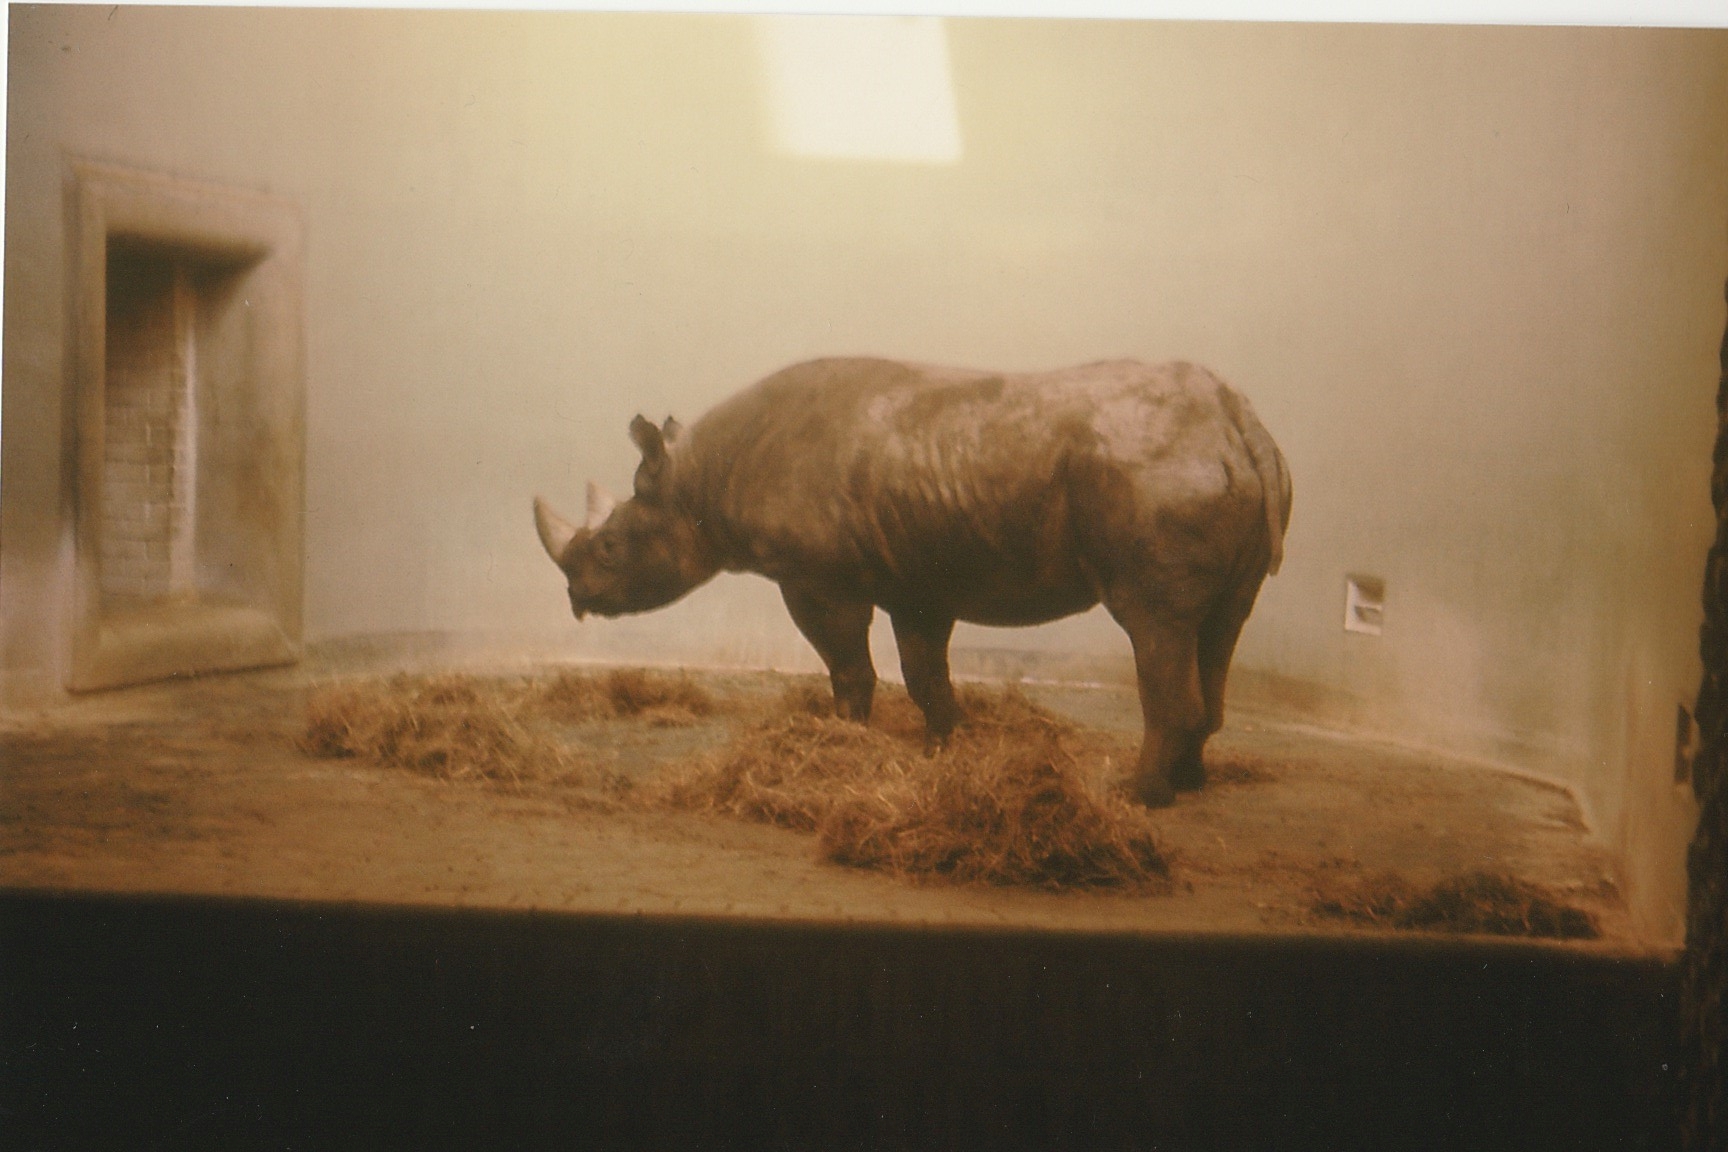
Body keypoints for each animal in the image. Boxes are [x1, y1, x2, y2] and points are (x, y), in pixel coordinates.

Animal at [534, 357, 1290, 806]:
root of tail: (1238, 421)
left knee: (1155, 622)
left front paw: (840, 746)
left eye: (609, 547)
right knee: (1221, 626)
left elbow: (849, 668)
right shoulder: (917, 577)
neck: (697, 479)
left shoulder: (817, 576)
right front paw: (941, 753)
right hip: (1215, 476)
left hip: (1153, 473)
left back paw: (1136, 797)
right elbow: (926, 674)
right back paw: (1190, 784)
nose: (575, 599)